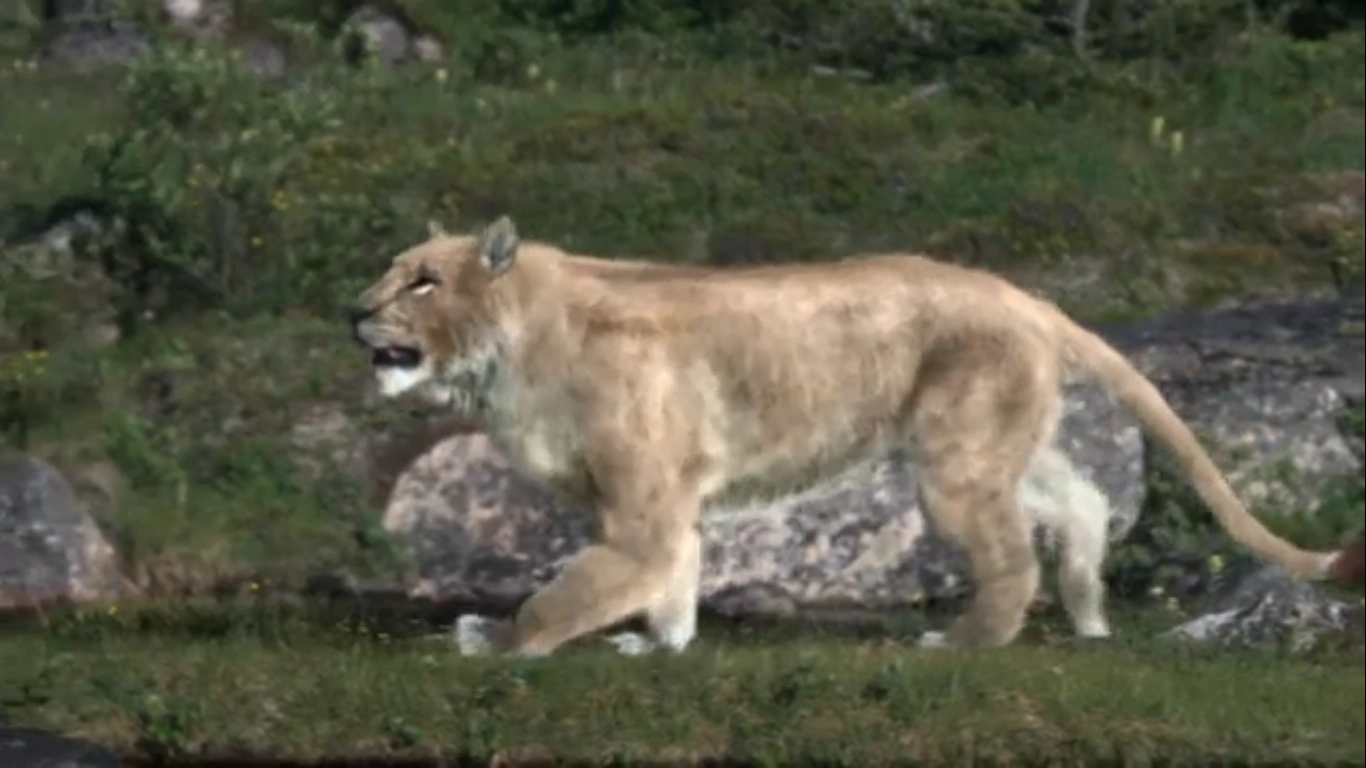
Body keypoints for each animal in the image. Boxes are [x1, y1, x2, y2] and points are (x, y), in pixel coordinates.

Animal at [347, 215, 1365, 657]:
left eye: (424, 281)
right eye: (392, 270)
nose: (353, 312)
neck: (509, 353)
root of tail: (1023, 296)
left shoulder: (639, 506)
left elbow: (568, 593)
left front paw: (492, 642)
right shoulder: (666, 501)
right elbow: (673, 574)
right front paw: (662, 649)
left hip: (954, 459)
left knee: (1011, 555)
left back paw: (963, 644)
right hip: (991, 445)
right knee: (1082, 500)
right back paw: (1089, 617)